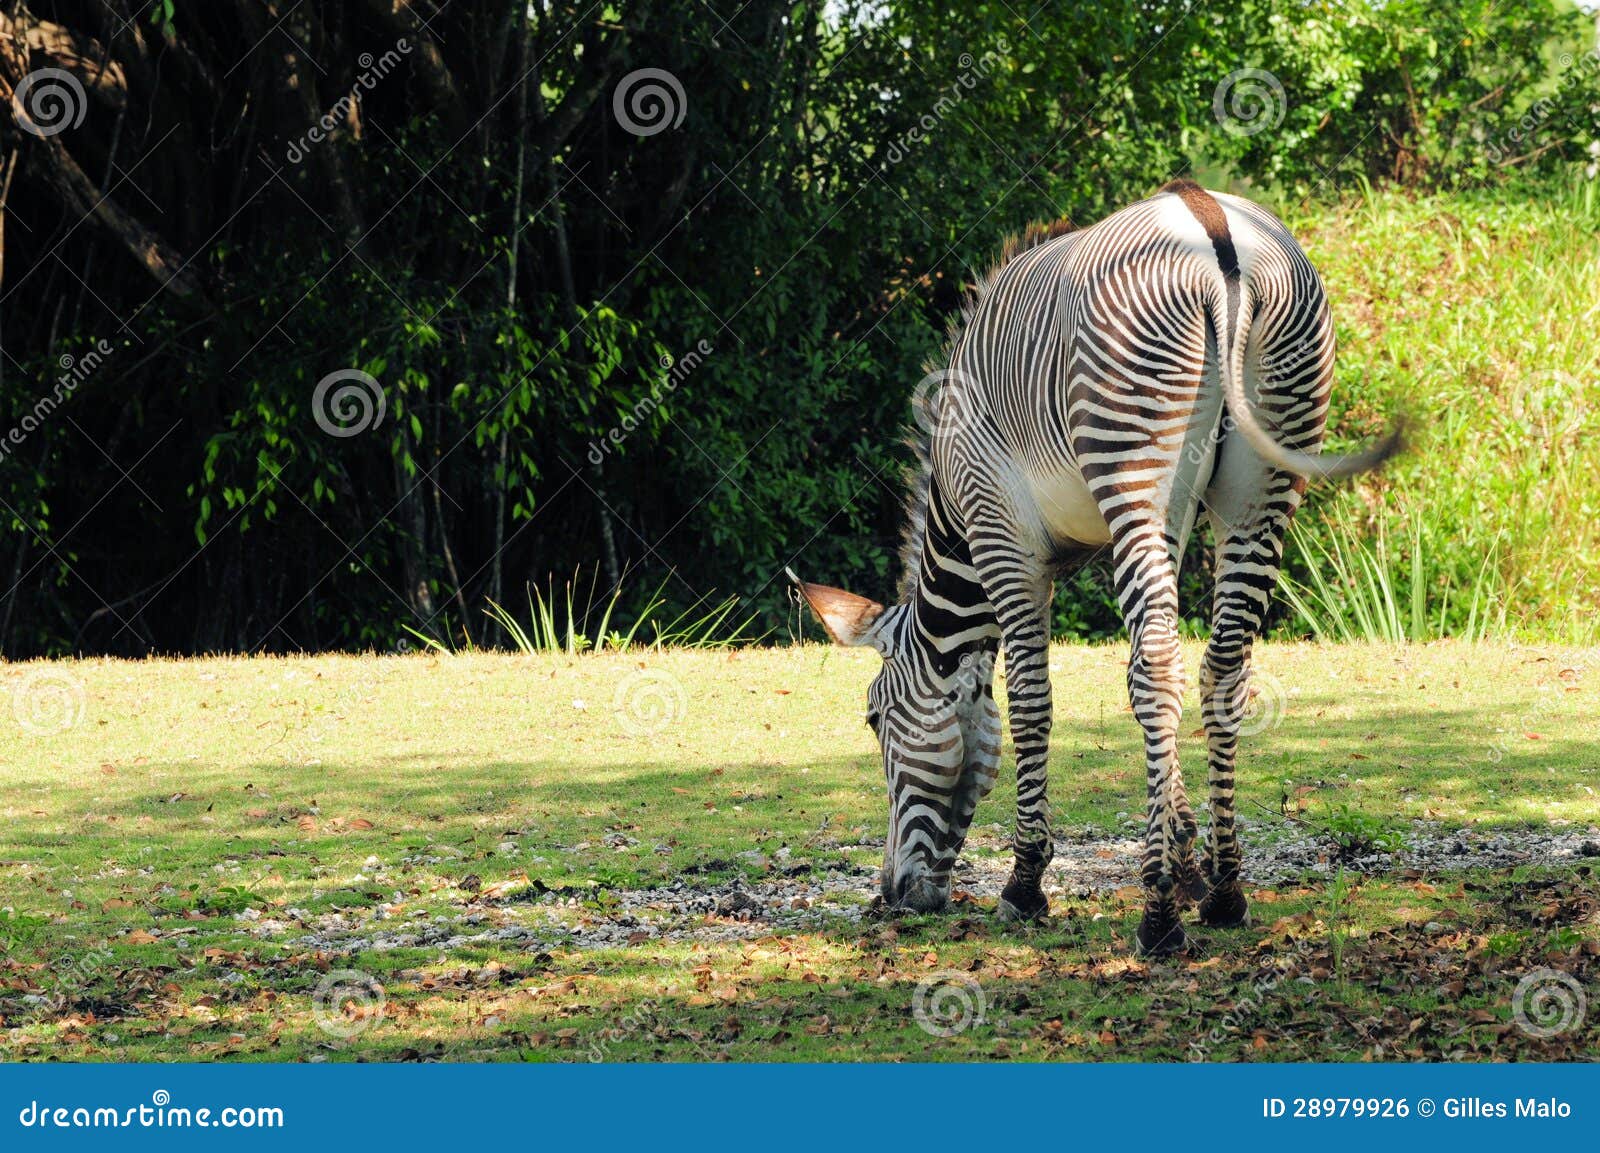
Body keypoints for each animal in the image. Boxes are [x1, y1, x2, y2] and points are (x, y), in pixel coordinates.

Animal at [790, 180, 1398, 955]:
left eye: (873, 718)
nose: (891, 896)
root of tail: (1211, 221)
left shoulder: (1006, 541)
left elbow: (1030, 701)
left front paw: (1026, 883)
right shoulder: (1147, 526)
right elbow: (1131, 677)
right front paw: (1186, 857)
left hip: (1132, 458)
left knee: (1161, 667)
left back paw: (1158, 920)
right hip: (1260, 480)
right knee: (1218, 665)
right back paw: (1225, 894)